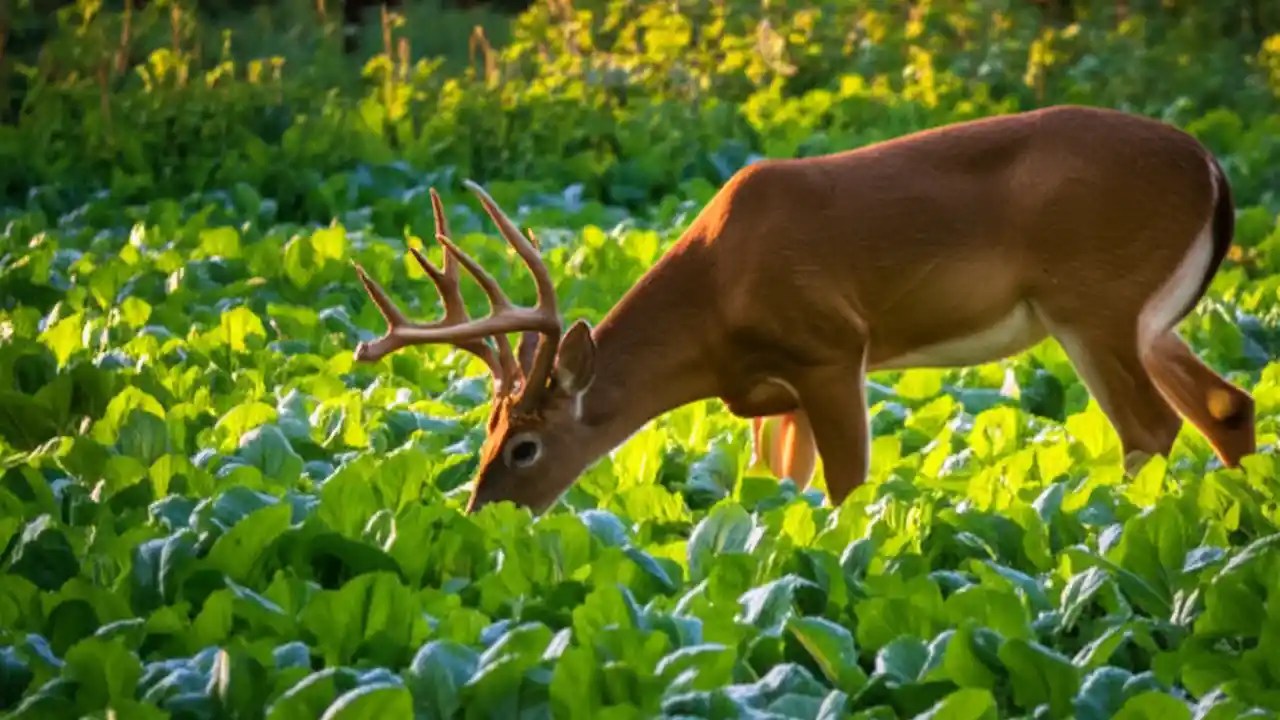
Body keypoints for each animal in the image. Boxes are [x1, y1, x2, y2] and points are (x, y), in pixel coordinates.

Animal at [350, 104, 1257, 516]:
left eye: (526, 447)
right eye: (484, 435)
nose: (478, 517)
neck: (715, 307)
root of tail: (1215, 169)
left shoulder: (831, 348)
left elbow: (849, 486)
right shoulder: (773, 396)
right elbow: (780, 490)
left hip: (1095, 302)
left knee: (1151, 428)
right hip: (1148, 318)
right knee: (1227, 405)